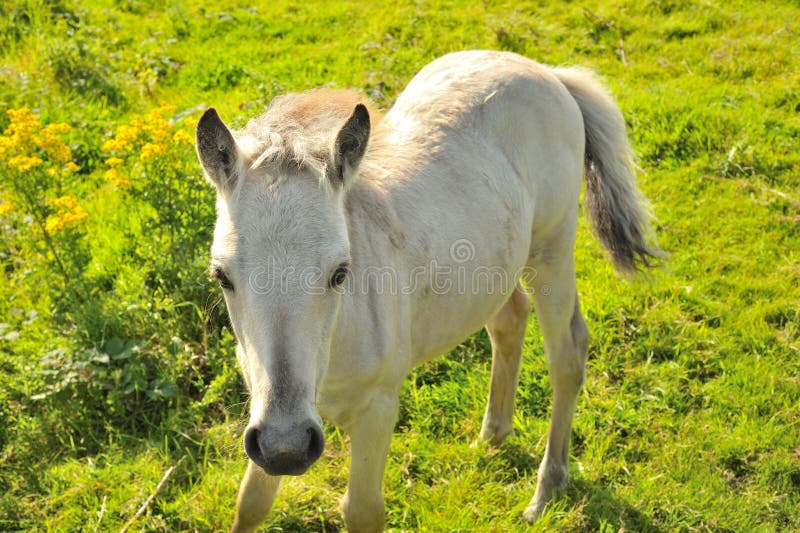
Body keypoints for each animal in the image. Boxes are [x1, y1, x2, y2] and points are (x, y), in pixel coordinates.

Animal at [195, 50, 660, 532]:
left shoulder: (377, 409)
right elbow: (252, 501)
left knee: (567, 355)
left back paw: (546, 489)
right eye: (222, 276)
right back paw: (492, 437)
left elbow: (362, 510)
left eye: (341, 273)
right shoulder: (267, 414)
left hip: (551, 251)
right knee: (511, 318)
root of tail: (547, 72)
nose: (286, 449)